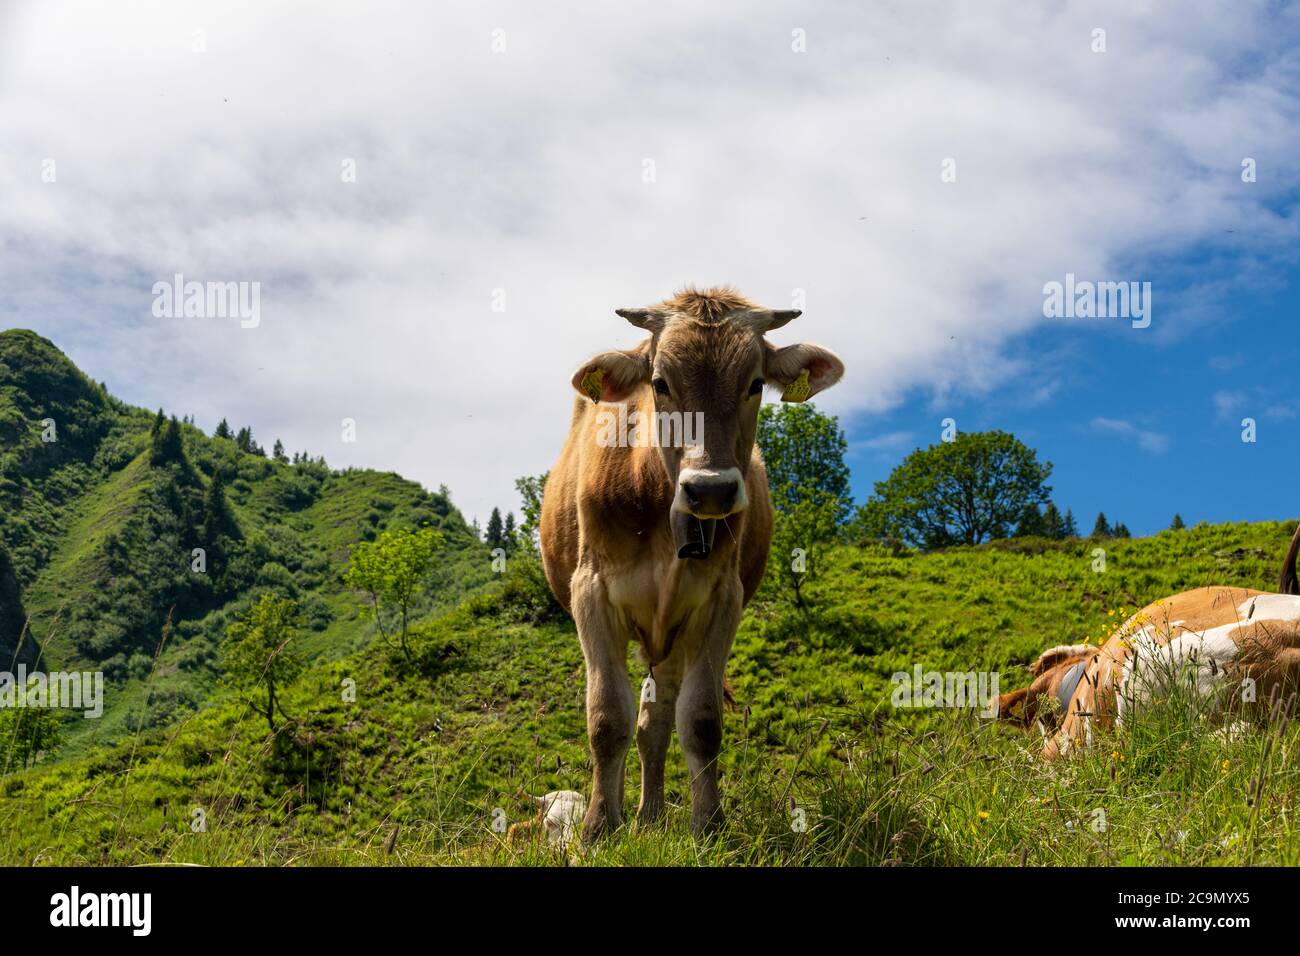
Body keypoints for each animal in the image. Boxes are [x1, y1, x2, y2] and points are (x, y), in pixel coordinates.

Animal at [540, 287, 845, 839]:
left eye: (755, 383)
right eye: (660, 383)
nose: (710, 489)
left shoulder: (720, 600)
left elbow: (699, 720)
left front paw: (708, 827)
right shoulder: (591, 592)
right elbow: (606, 718)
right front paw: (597, 829)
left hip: (672, 636)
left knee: (655, 723)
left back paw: (651, 815)